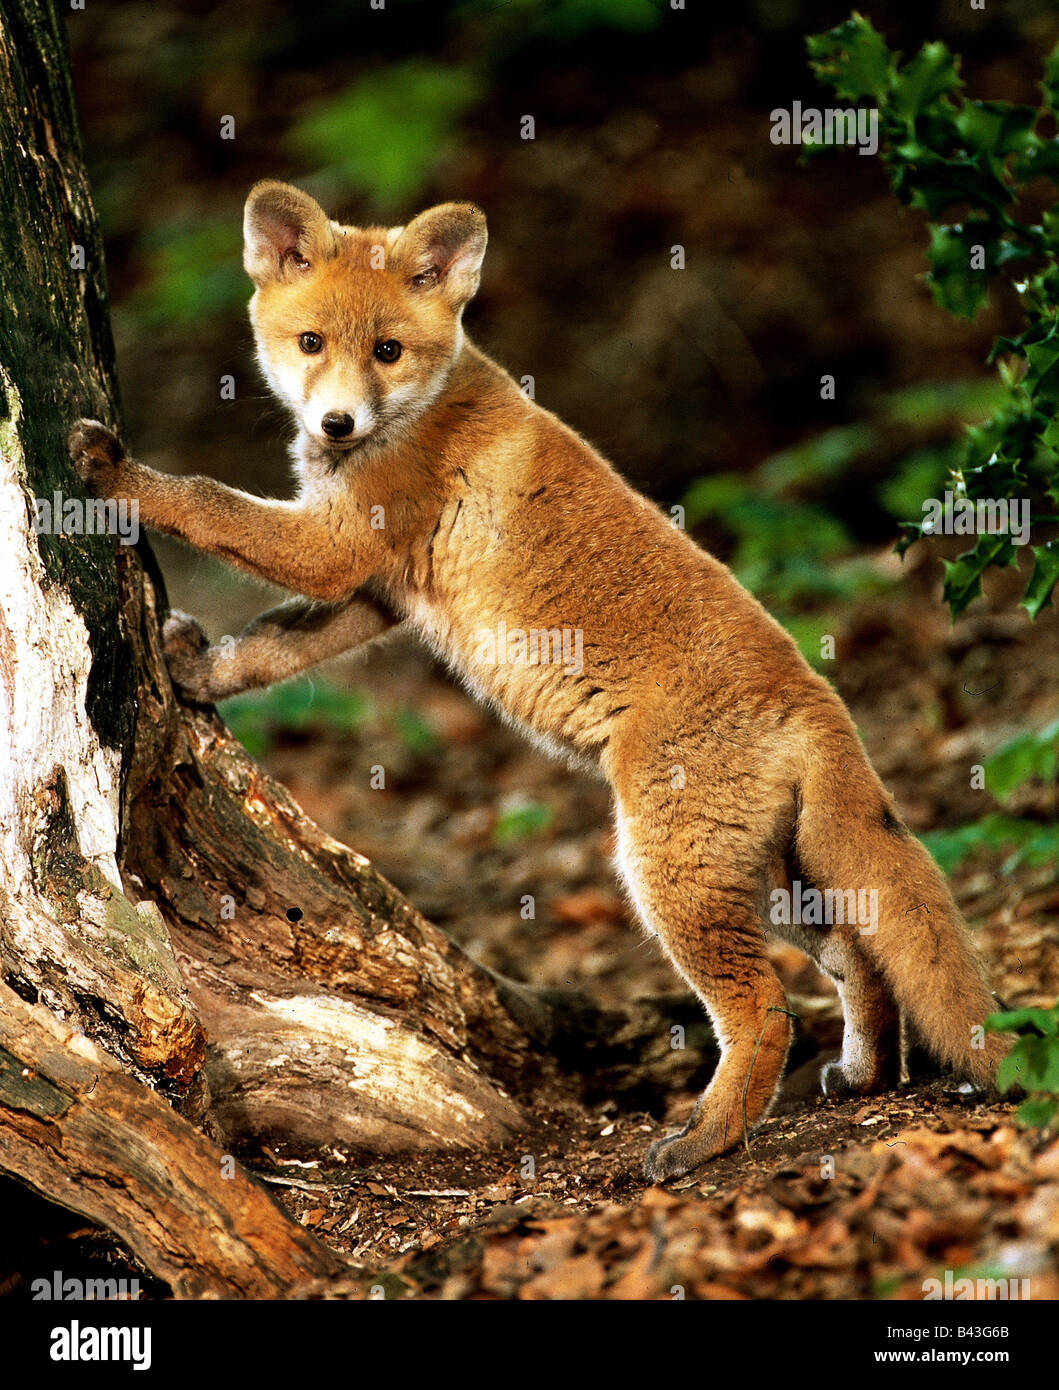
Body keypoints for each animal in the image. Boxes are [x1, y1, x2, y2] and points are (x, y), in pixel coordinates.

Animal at [69, 180, 1008, 1179]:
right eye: (312, 343)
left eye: (387, 351)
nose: (337, 424)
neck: (414, 416)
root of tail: (820, 700)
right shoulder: (376, 591)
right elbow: (273, 645)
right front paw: (198, 668)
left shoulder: (337, 548)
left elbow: (205, 501)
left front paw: (115, 471)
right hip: (776, 883)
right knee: (858, 961)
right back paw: (864, 1075)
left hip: (668, 875)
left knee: (764, 1012)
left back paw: (701, 1141)